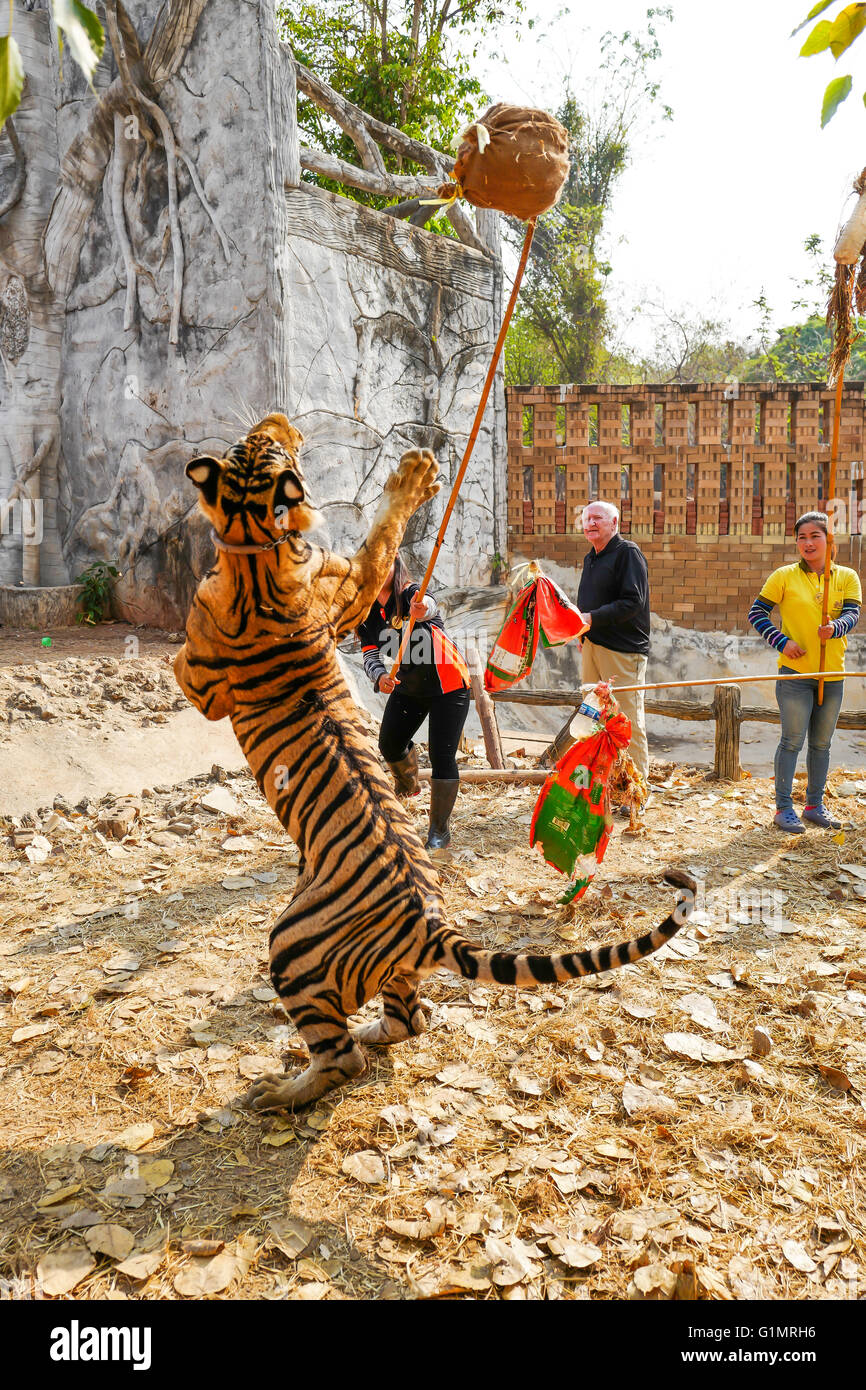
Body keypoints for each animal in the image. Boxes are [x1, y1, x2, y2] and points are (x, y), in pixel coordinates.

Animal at [174, 413, 696, 1111]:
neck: (262, 543)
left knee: (339, 1058)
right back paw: (372, 1029)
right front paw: (415, 477)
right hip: (392, 973)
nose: (279, 421)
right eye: (269, 443)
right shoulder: (345, 584)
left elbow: (190, 666)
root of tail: (427, 923)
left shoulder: (207, 680)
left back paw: (280, 1091)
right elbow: (379, 547)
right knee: (409, 1019)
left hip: (291, 949)